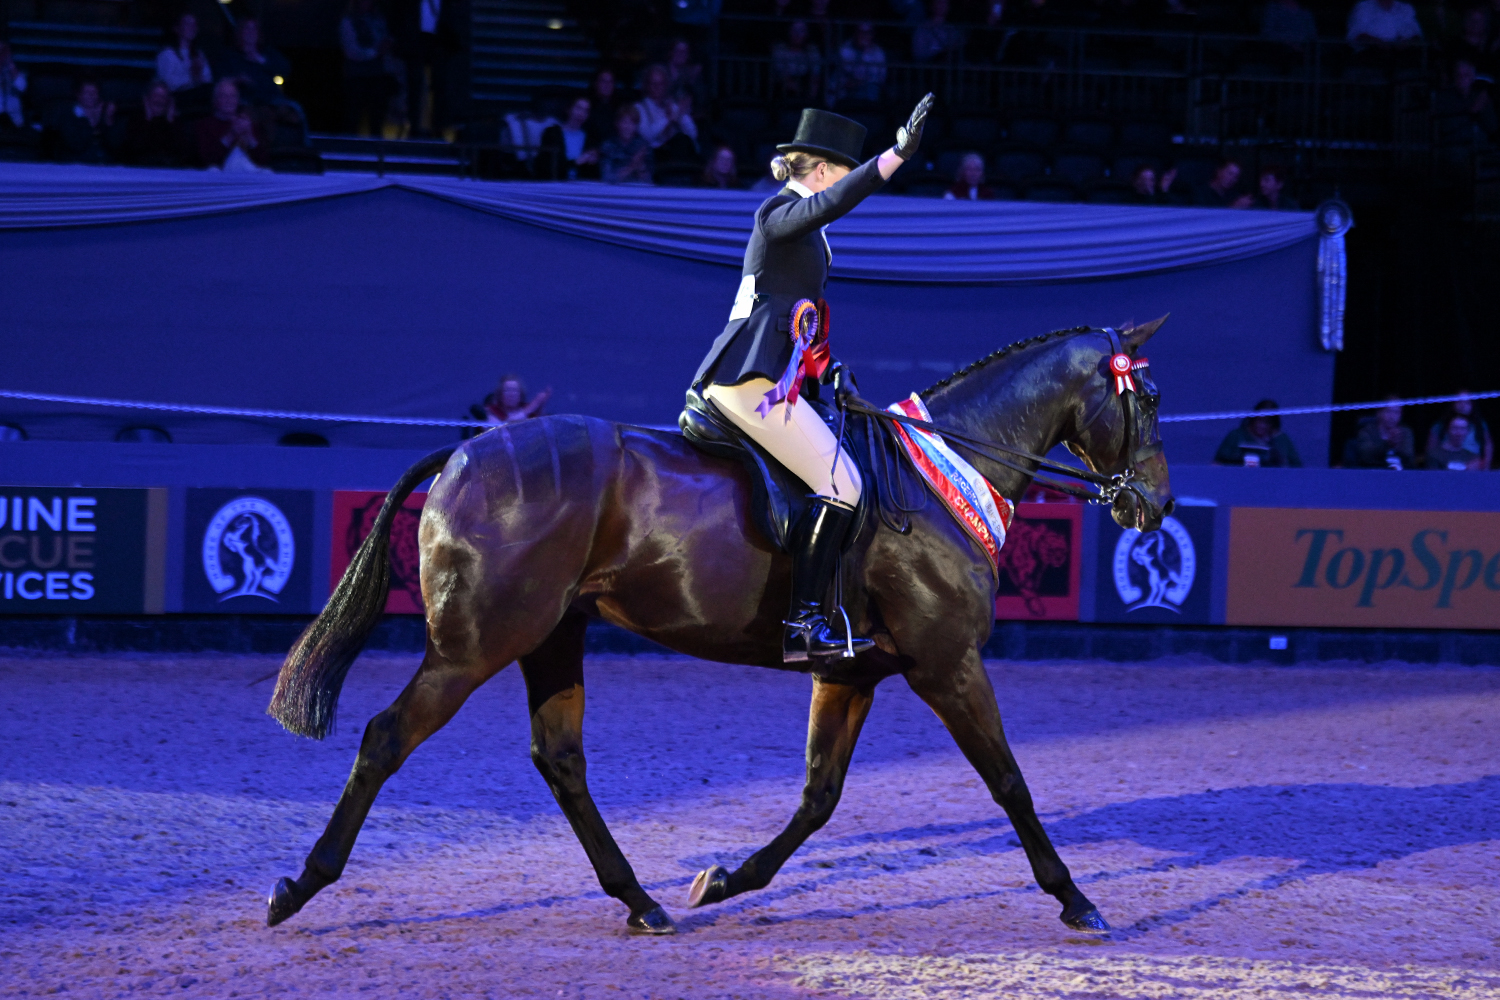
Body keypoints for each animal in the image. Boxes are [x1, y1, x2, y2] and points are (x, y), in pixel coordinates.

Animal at [264, 318, 1175, 937]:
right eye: (1151, 398)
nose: (1155, 506)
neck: (937, 479)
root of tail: (460, 454)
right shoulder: (947, 664)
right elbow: (1011, 783)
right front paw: (1077, 898)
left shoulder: (849, 671)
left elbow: (818, 797)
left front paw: (726, 881)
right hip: (475, 645)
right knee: (387, 737)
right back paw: (297, 887)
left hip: (551, 638)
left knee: (560, 760)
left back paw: (642, 902)